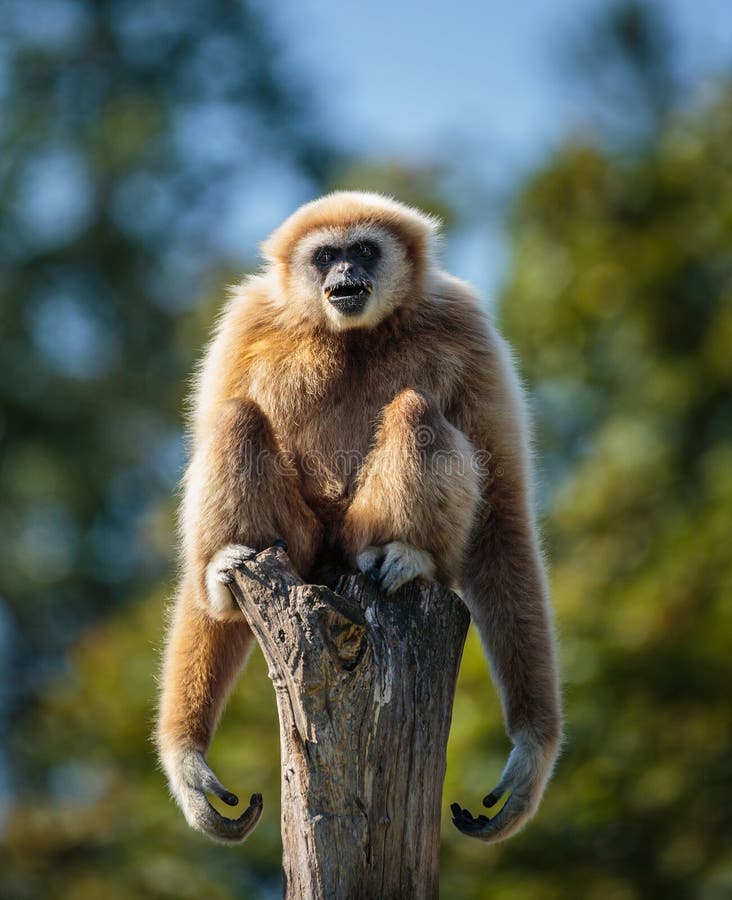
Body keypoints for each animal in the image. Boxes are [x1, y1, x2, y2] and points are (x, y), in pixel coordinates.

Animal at [155, 191, 562, 845]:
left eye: (365, 250)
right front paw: (187, 761)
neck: (350, 335)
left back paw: (406, 556)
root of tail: (327, 564)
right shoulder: (245, 323)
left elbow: (504, 511)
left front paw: (531, 753)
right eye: (326, 256)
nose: (346, 273)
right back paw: (225, 570)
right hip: (298, 543)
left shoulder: (467, 325)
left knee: (418, 411)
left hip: (357, 535)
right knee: (237, 416)